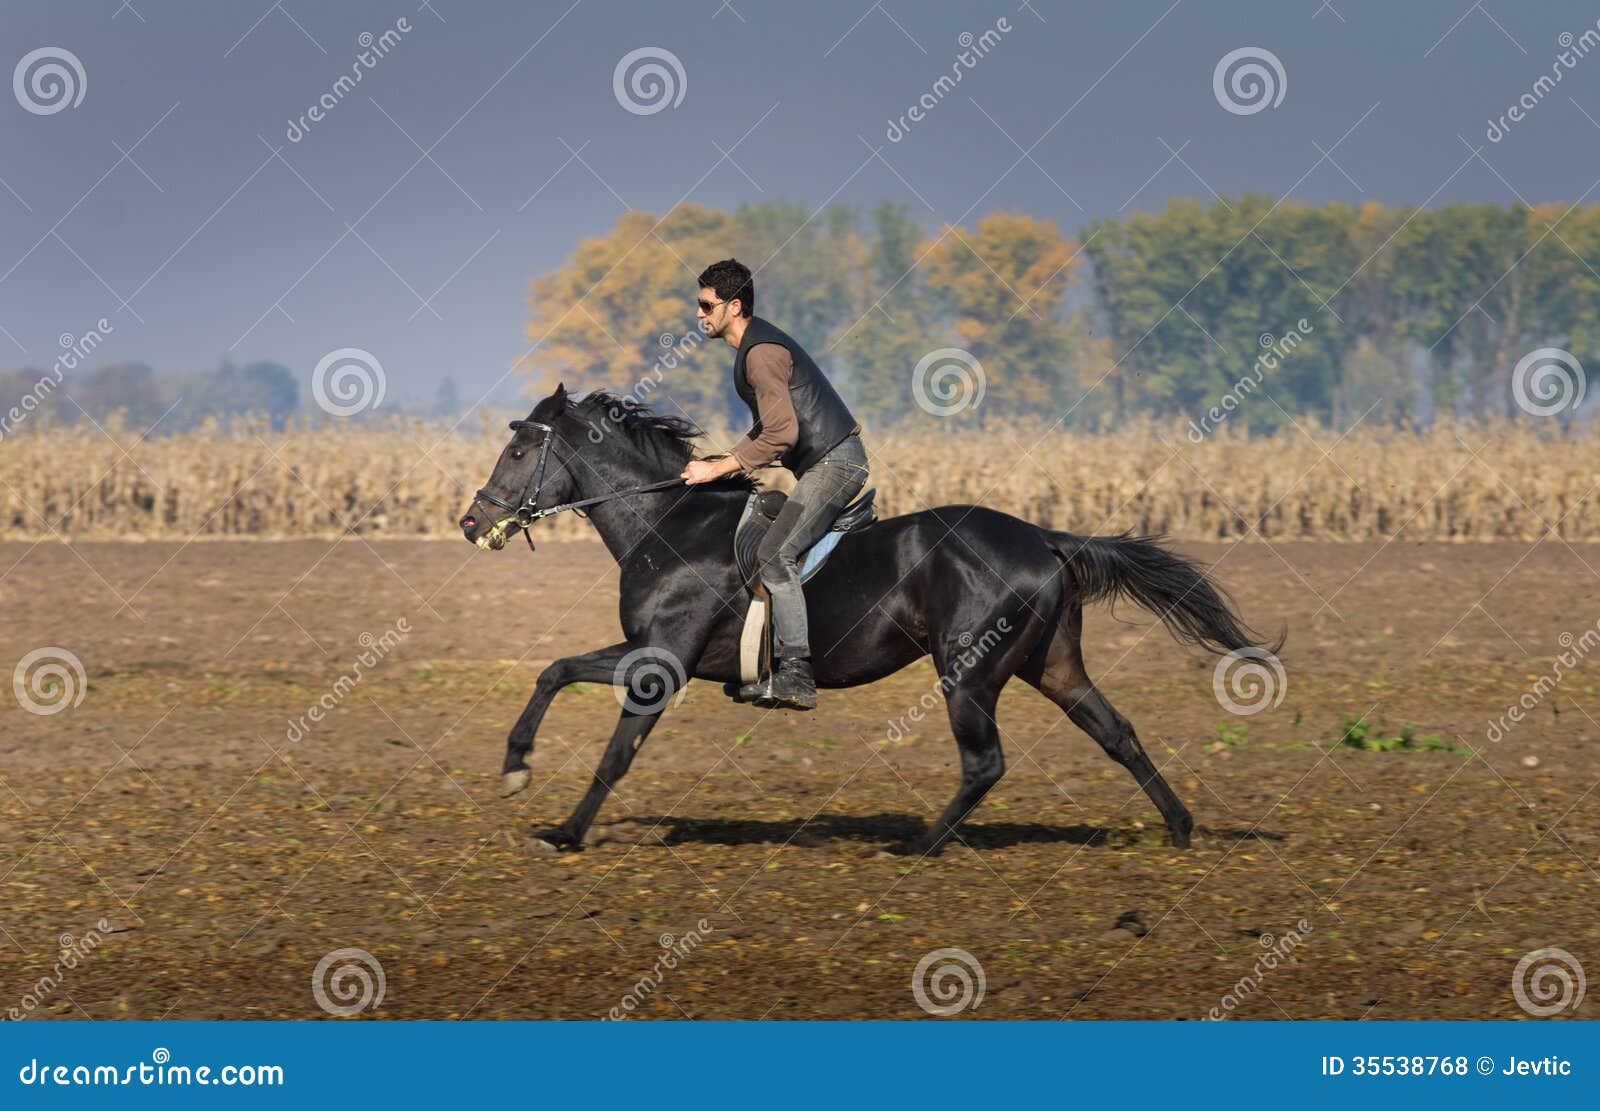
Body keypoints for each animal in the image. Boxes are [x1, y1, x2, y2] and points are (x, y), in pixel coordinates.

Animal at [458, 385, 1274, 856]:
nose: (470, 521)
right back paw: (1180, 827)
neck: (669, 521)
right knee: (1116, 731)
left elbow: (613, 746)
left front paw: (561, 825)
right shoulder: (647, 650)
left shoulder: (662, 662)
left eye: (520, 448)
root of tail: (1043, 537)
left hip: (968, 673)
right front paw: (517, 769)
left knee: (987, 762)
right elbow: (554, 670)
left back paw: (918, 846)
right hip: (1053, 666)